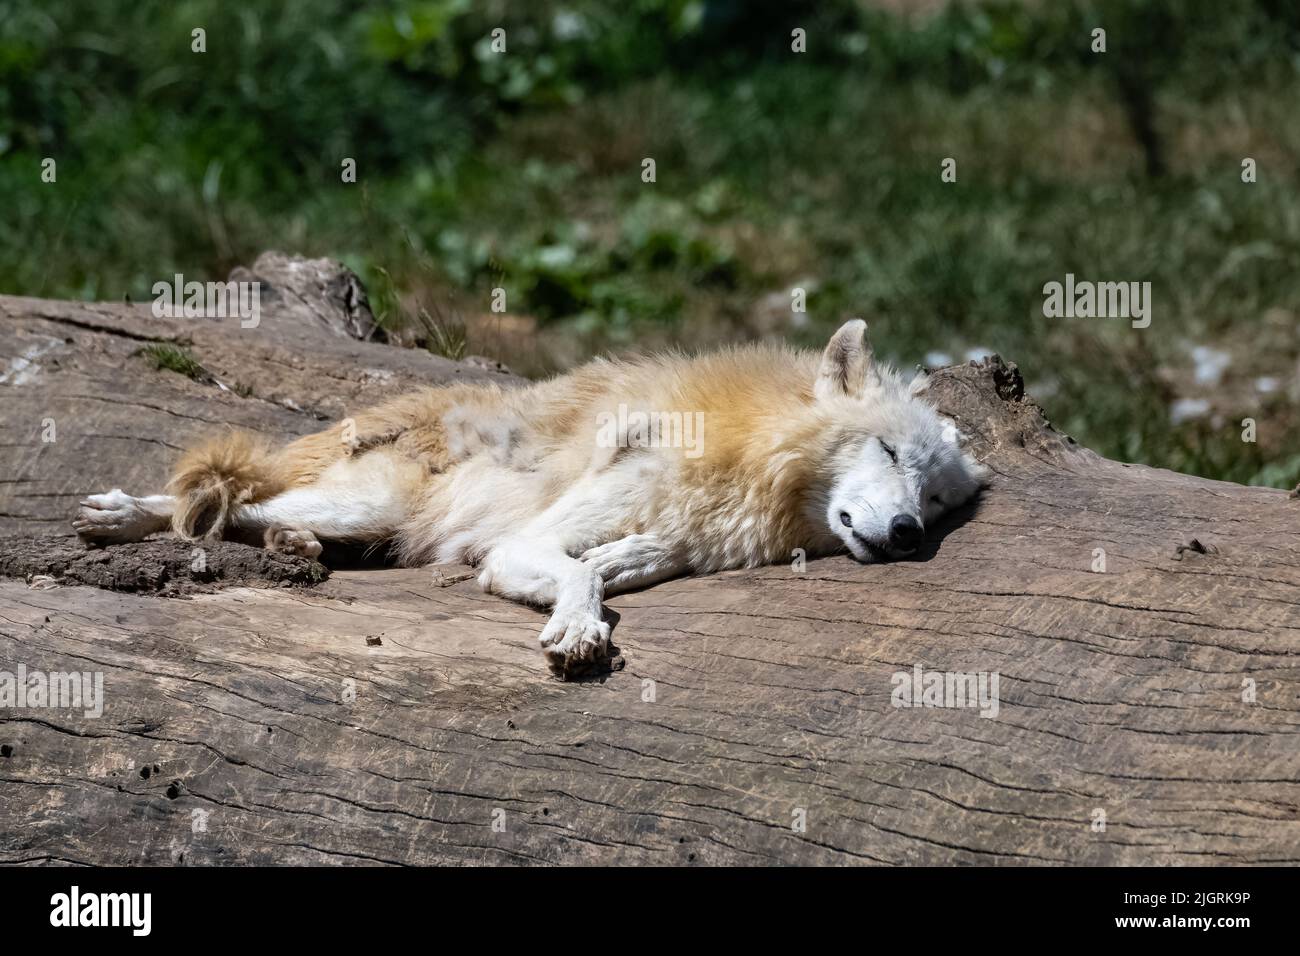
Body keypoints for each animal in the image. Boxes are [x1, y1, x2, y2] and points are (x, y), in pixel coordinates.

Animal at [74, 320, 986, 675]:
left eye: (936, 498)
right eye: (888, 451)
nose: (909, 531)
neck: (746, 458)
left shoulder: (670, 542)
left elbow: (618, 561)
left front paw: (611, 580)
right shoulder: (519, 546)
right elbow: (576, 575)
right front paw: (580, 632)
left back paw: (290, 553)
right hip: (360, 505)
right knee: (225, 503)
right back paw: (121, 515)